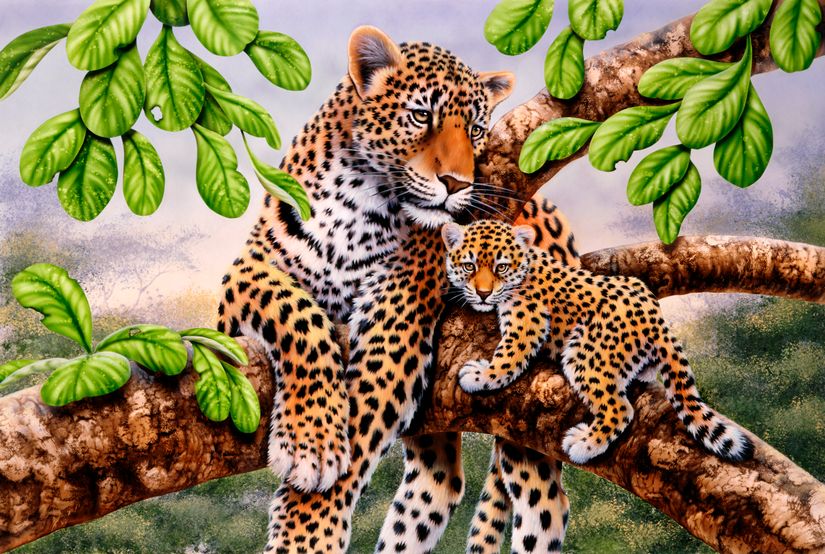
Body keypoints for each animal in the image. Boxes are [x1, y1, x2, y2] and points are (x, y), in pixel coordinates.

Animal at [217, 25, 578, 553]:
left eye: (475, 130)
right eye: (421, 115)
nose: (457, 183)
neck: (354, 204)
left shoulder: (399, 310)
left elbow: (365, 412)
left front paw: (307, 527)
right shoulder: (244, 277)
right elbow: (295, 312)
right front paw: (311, 442)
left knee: (543, 498)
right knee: (440, 482)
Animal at [442, 219, 755, 466]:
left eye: (502, 267)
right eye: (469, 265)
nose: (483, 293)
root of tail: (656, 320)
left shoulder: (528, 319)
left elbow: (510, 354)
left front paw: (482, 375)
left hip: (585, 354)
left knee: (619, 409)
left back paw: (584, 444)